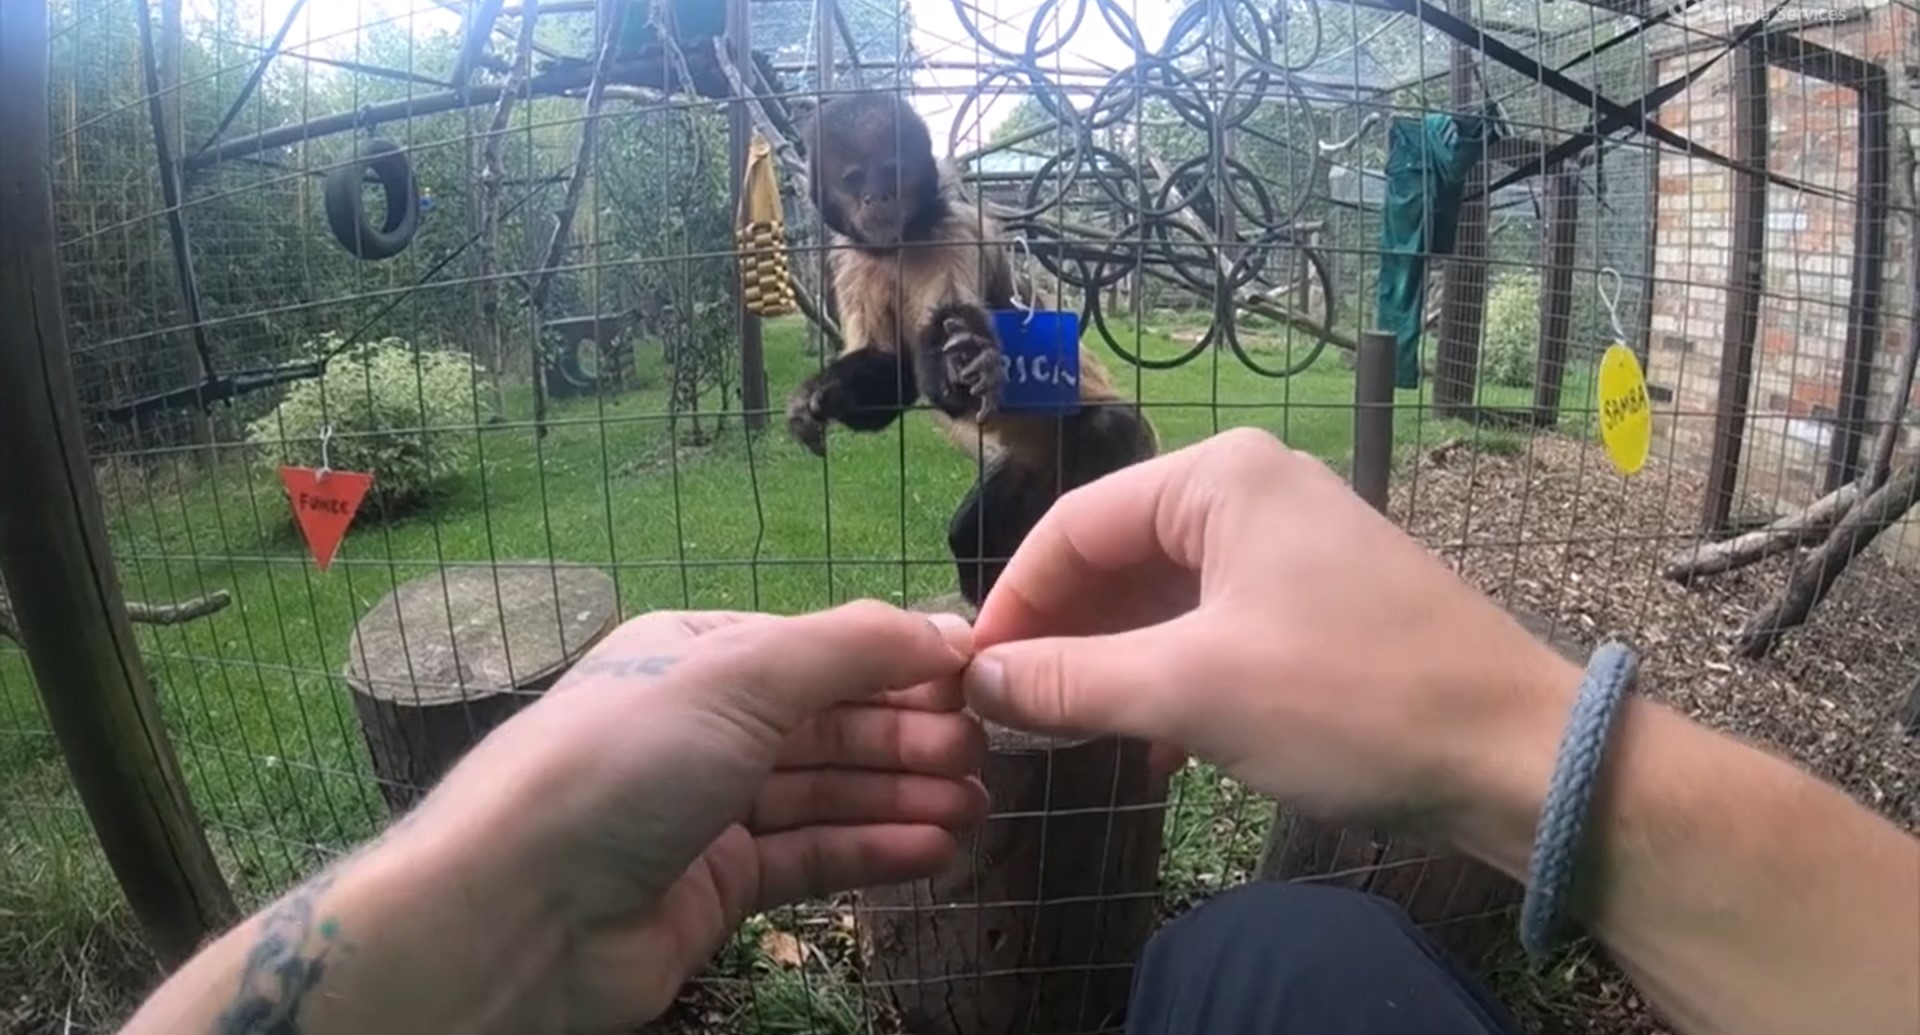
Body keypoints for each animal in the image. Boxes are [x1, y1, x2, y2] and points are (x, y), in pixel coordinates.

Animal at [786, 90, 1158, 610]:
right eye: (854, 178)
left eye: (892, 171)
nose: (877, 197)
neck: (901, 244)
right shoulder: (851, 259)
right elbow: (892, 374)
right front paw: (822, 394)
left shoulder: (954, 233)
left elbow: (954, 350)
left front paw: (970, 363)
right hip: (1033, 467)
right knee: (971, 531)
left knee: (1108, 430)